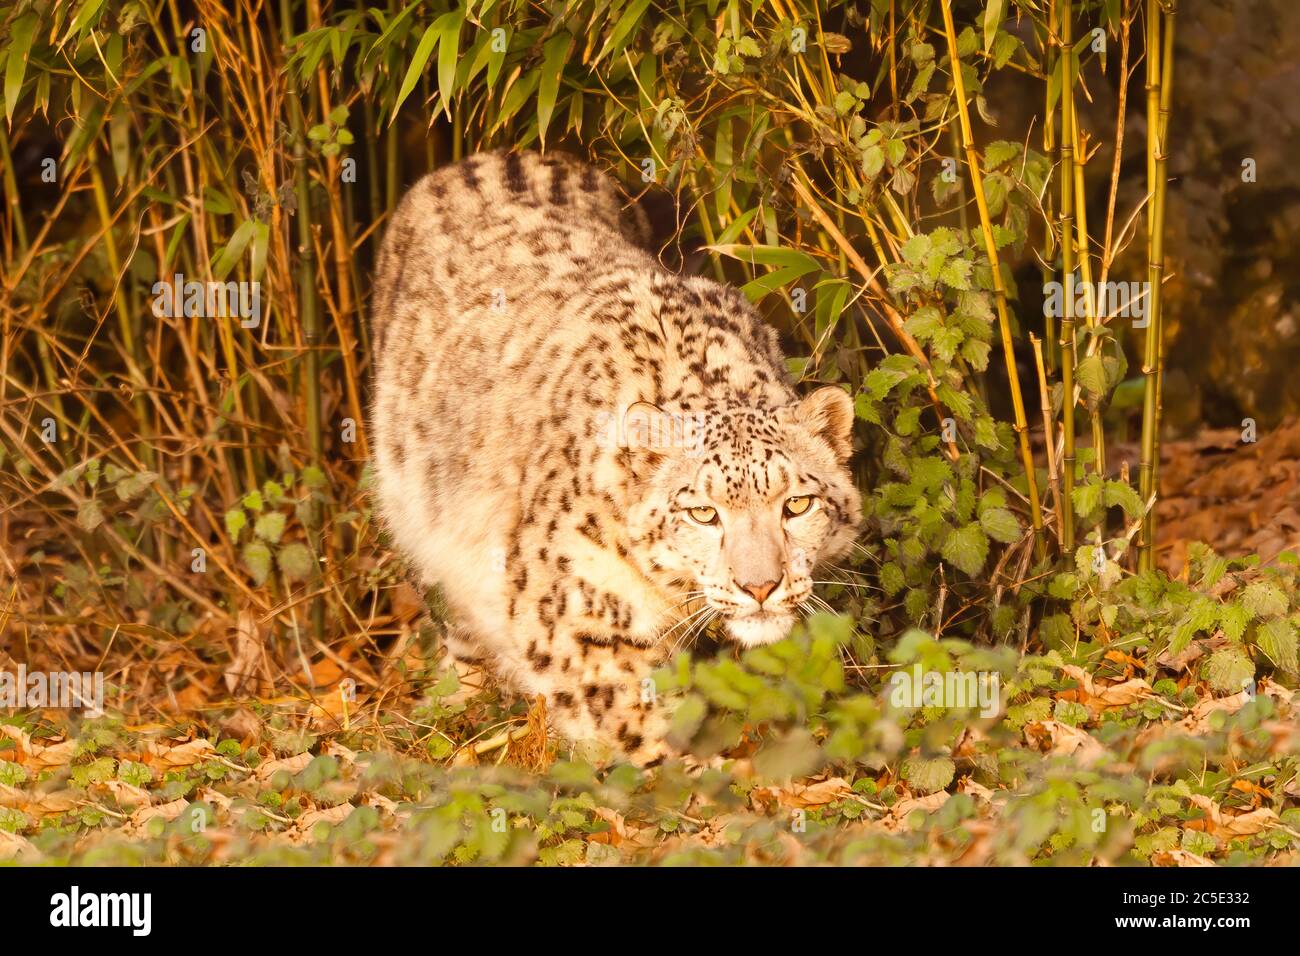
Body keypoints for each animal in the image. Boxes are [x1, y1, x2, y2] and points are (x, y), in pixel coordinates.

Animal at [370, 149, 861, 764]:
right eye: (703, 513)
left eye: (796, 504)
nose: (760, 587)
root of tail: (494, 155)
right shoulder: (573, 610)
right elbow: (632, 714)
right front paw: (687, 768)